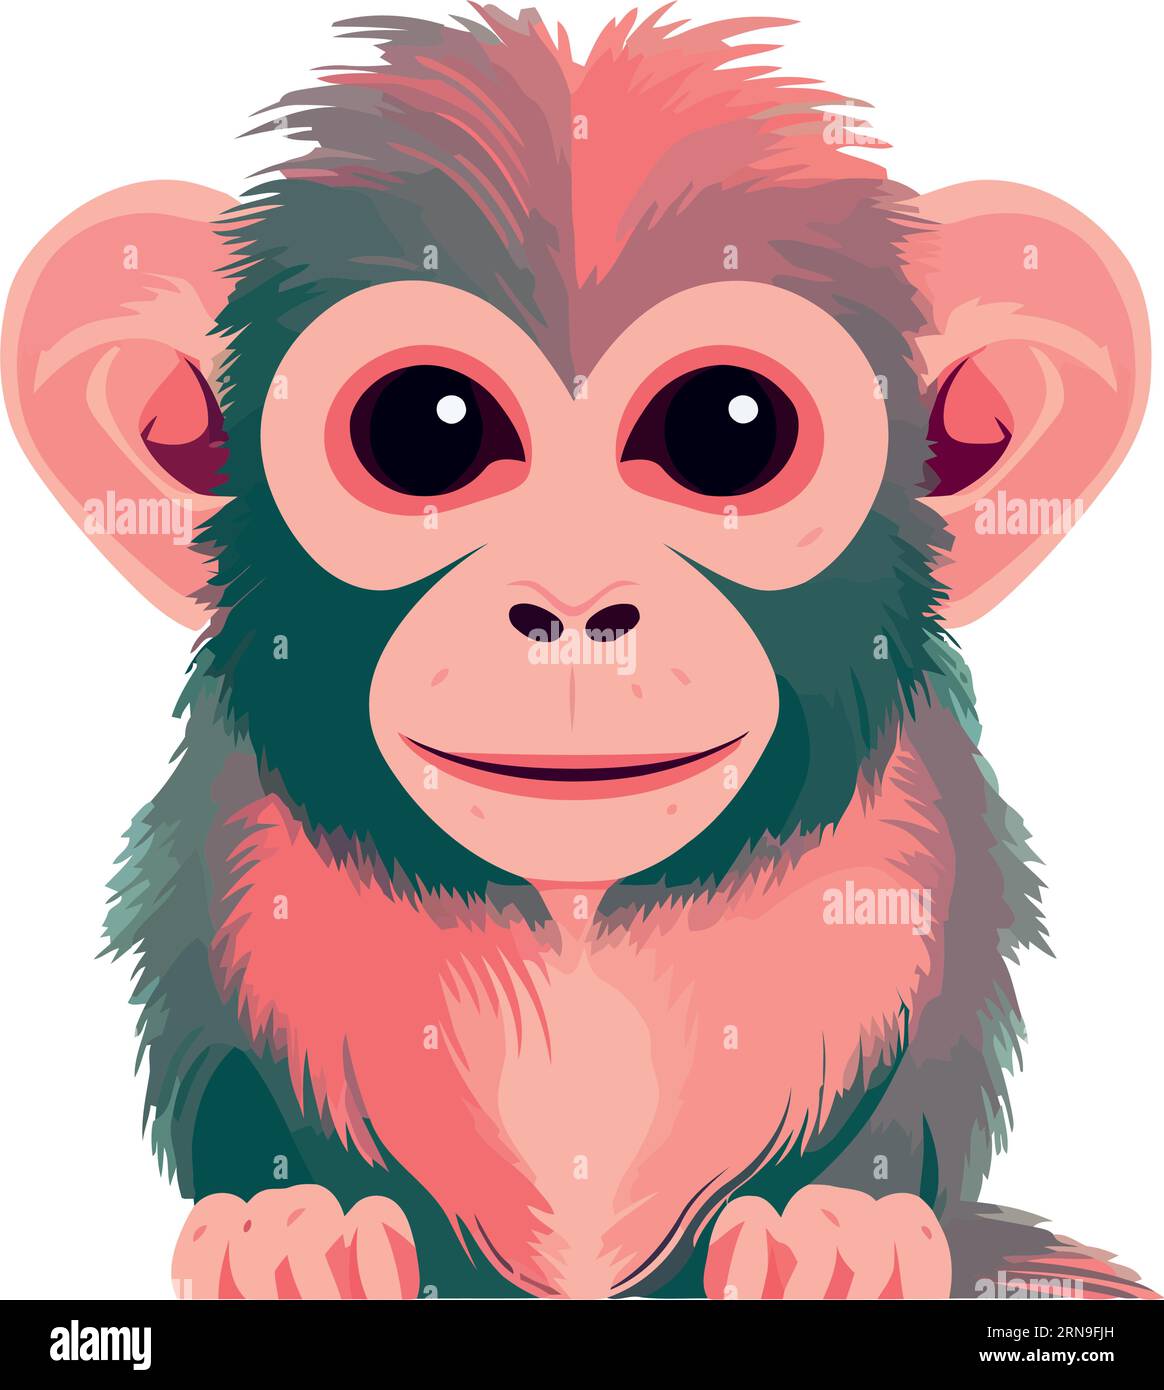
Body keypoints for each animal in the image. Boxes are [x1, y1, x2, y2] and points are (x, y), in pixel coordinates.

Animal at [2, 8, 1152, 1300]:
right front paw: (294, 1214)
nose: (573, 602)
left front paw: (835, 1218)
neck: (580, 916)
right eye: (426, 430)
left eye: (728, 430)